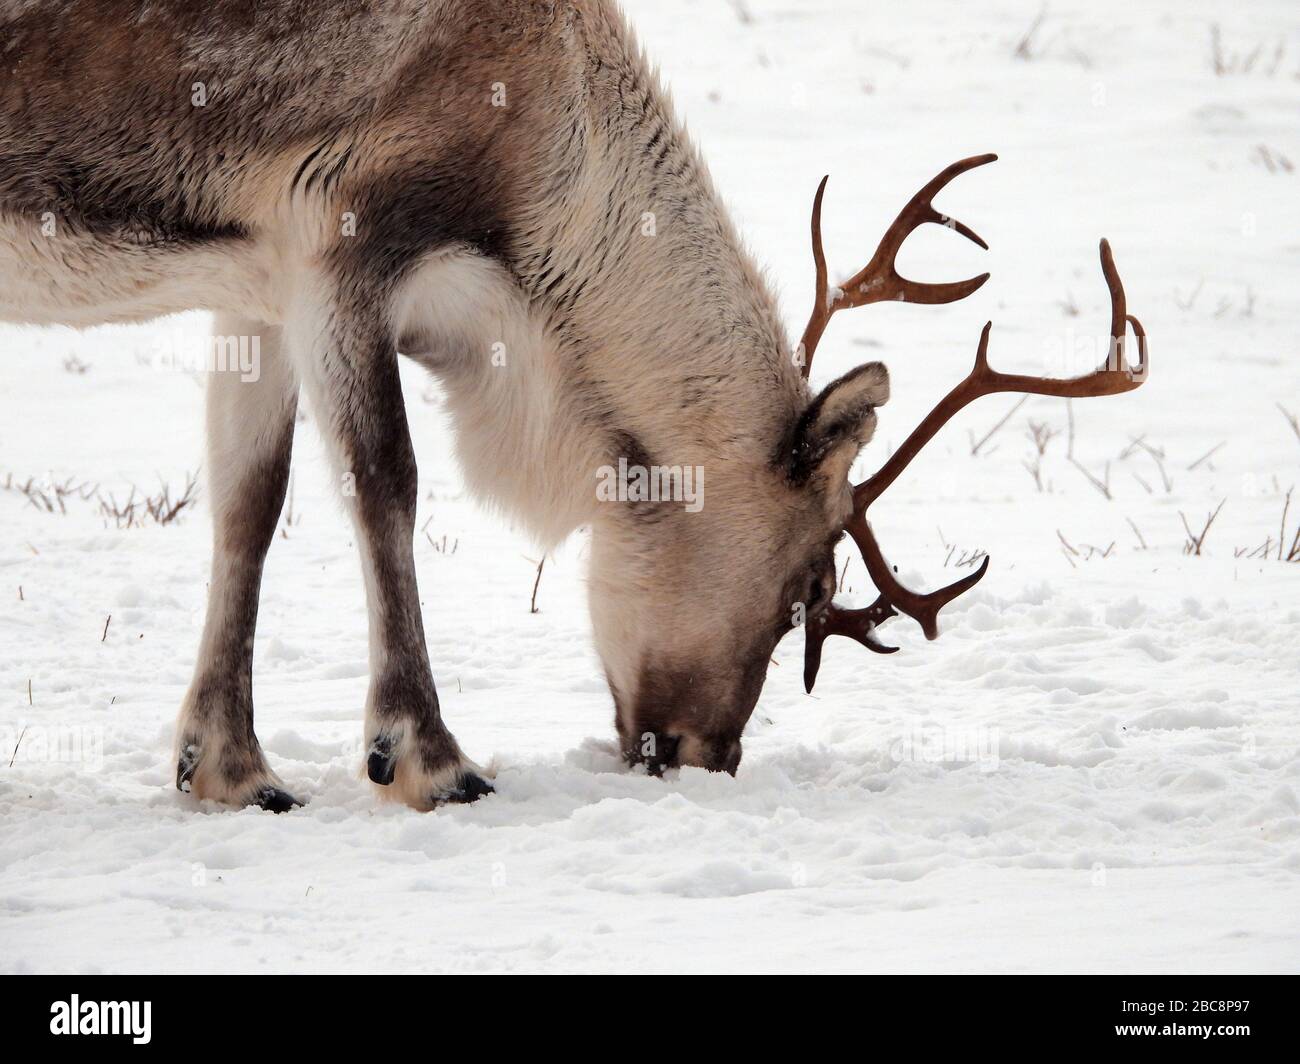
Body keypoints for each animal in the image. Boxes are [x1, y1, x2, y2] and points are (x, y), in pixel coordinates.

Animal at [0, 1, 1146, 812]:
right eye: (804, 588)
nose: (707, 755)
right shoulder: (341, 240)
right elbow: (385, 486)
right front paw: (427, 757)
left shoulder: (257, 282)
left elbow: (248, 502)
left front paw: (227, 767)